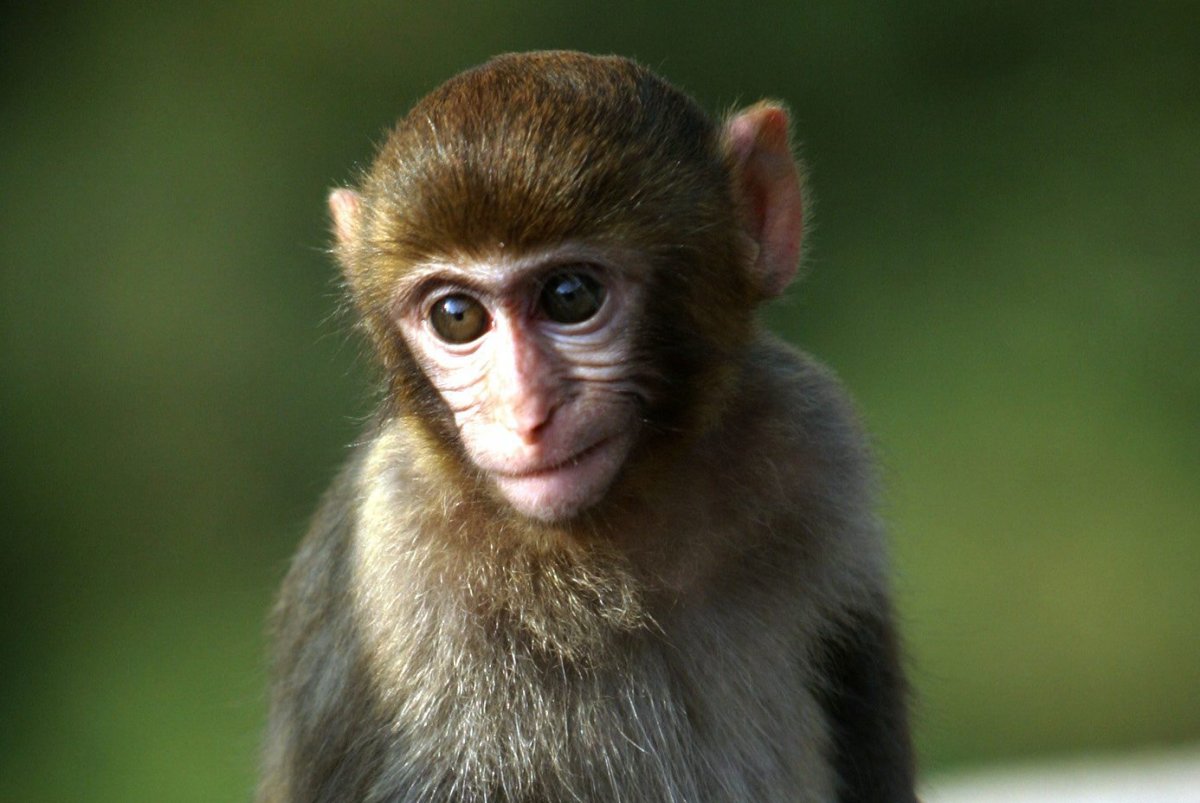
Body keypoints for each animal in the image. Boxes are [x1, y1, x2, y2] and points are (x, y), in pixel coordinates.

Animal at [259, 51, 916, 802]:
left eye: (570, 297)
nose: (525, 413)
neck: (605, 540)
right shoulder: (392, 562)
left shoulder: (812, 442)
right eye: (457, 316)